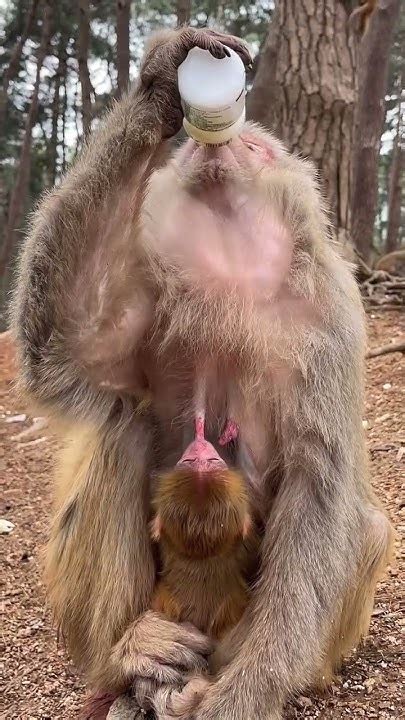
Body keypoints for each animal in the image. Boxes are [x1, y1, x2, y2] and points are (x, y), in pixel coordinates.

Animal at [10, 26, 393, 720]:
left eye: (254, 145)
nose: (215, 143)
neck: (230, 274)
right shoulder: (158, 280)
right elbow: (69, 350)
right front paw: (163, 85)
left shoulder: (332, 320)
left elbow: (316, 486)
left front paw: (248, 689)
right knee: (126, 427)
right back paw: (128, 653)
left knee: (366, 527)